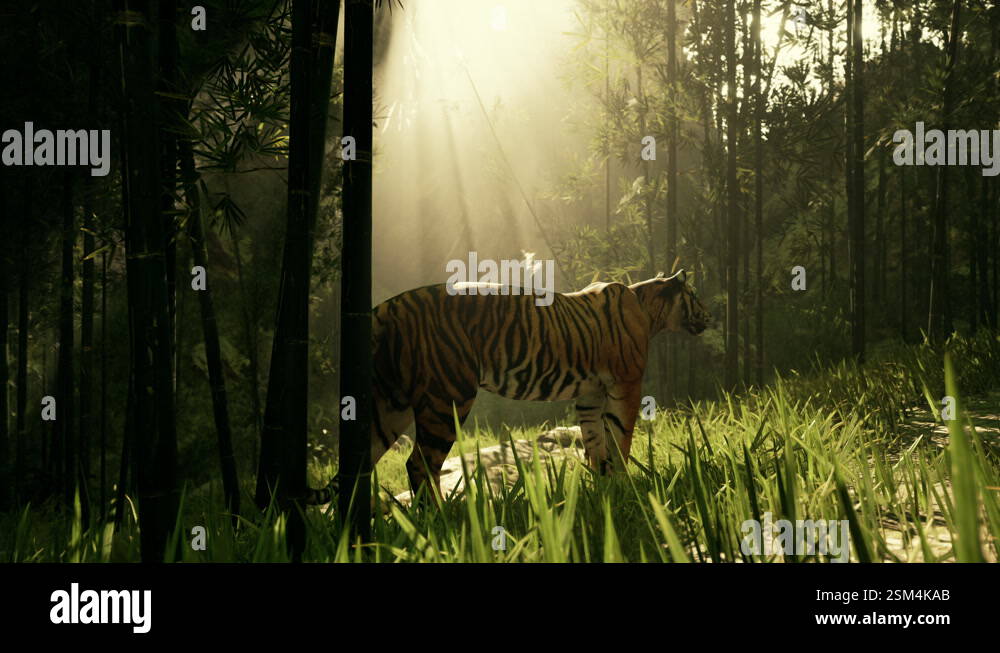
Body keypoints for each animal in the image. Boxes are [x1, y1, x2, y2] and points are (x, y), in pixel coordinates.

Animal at [307, 268, 711, 505]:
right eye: (696, 297)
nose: (710, 316)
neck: (648, 308)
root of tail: (389, 306)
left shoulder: (590, 395)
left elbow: (596, 443)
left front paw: (604, 489)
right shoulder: (625, 385)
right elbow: (620, 438)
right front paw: (625, 486)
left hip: (389, 405)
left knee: (360, 463)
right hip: (447, 398)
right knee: (420, 464)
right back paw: (441, 518)